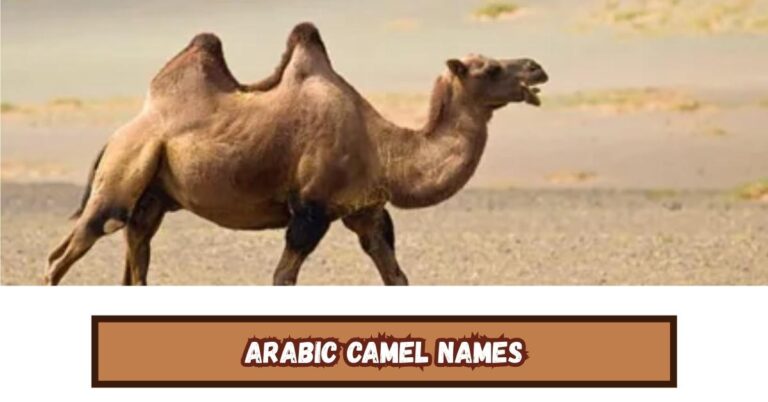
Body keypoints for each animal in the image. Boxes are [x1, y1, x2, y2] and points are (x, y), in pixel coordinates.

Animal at [45, 23, 548, 286]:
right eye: (490, 68)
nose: (536, 66)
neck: (382, 147)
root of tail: (118, 134)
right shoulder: (311, 209)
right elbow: (282, 278)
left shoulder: (364, 211)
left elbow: (396, 275)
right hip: (122, 174)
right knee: (71, 247)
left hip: (152, 196)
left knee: (136, 249)